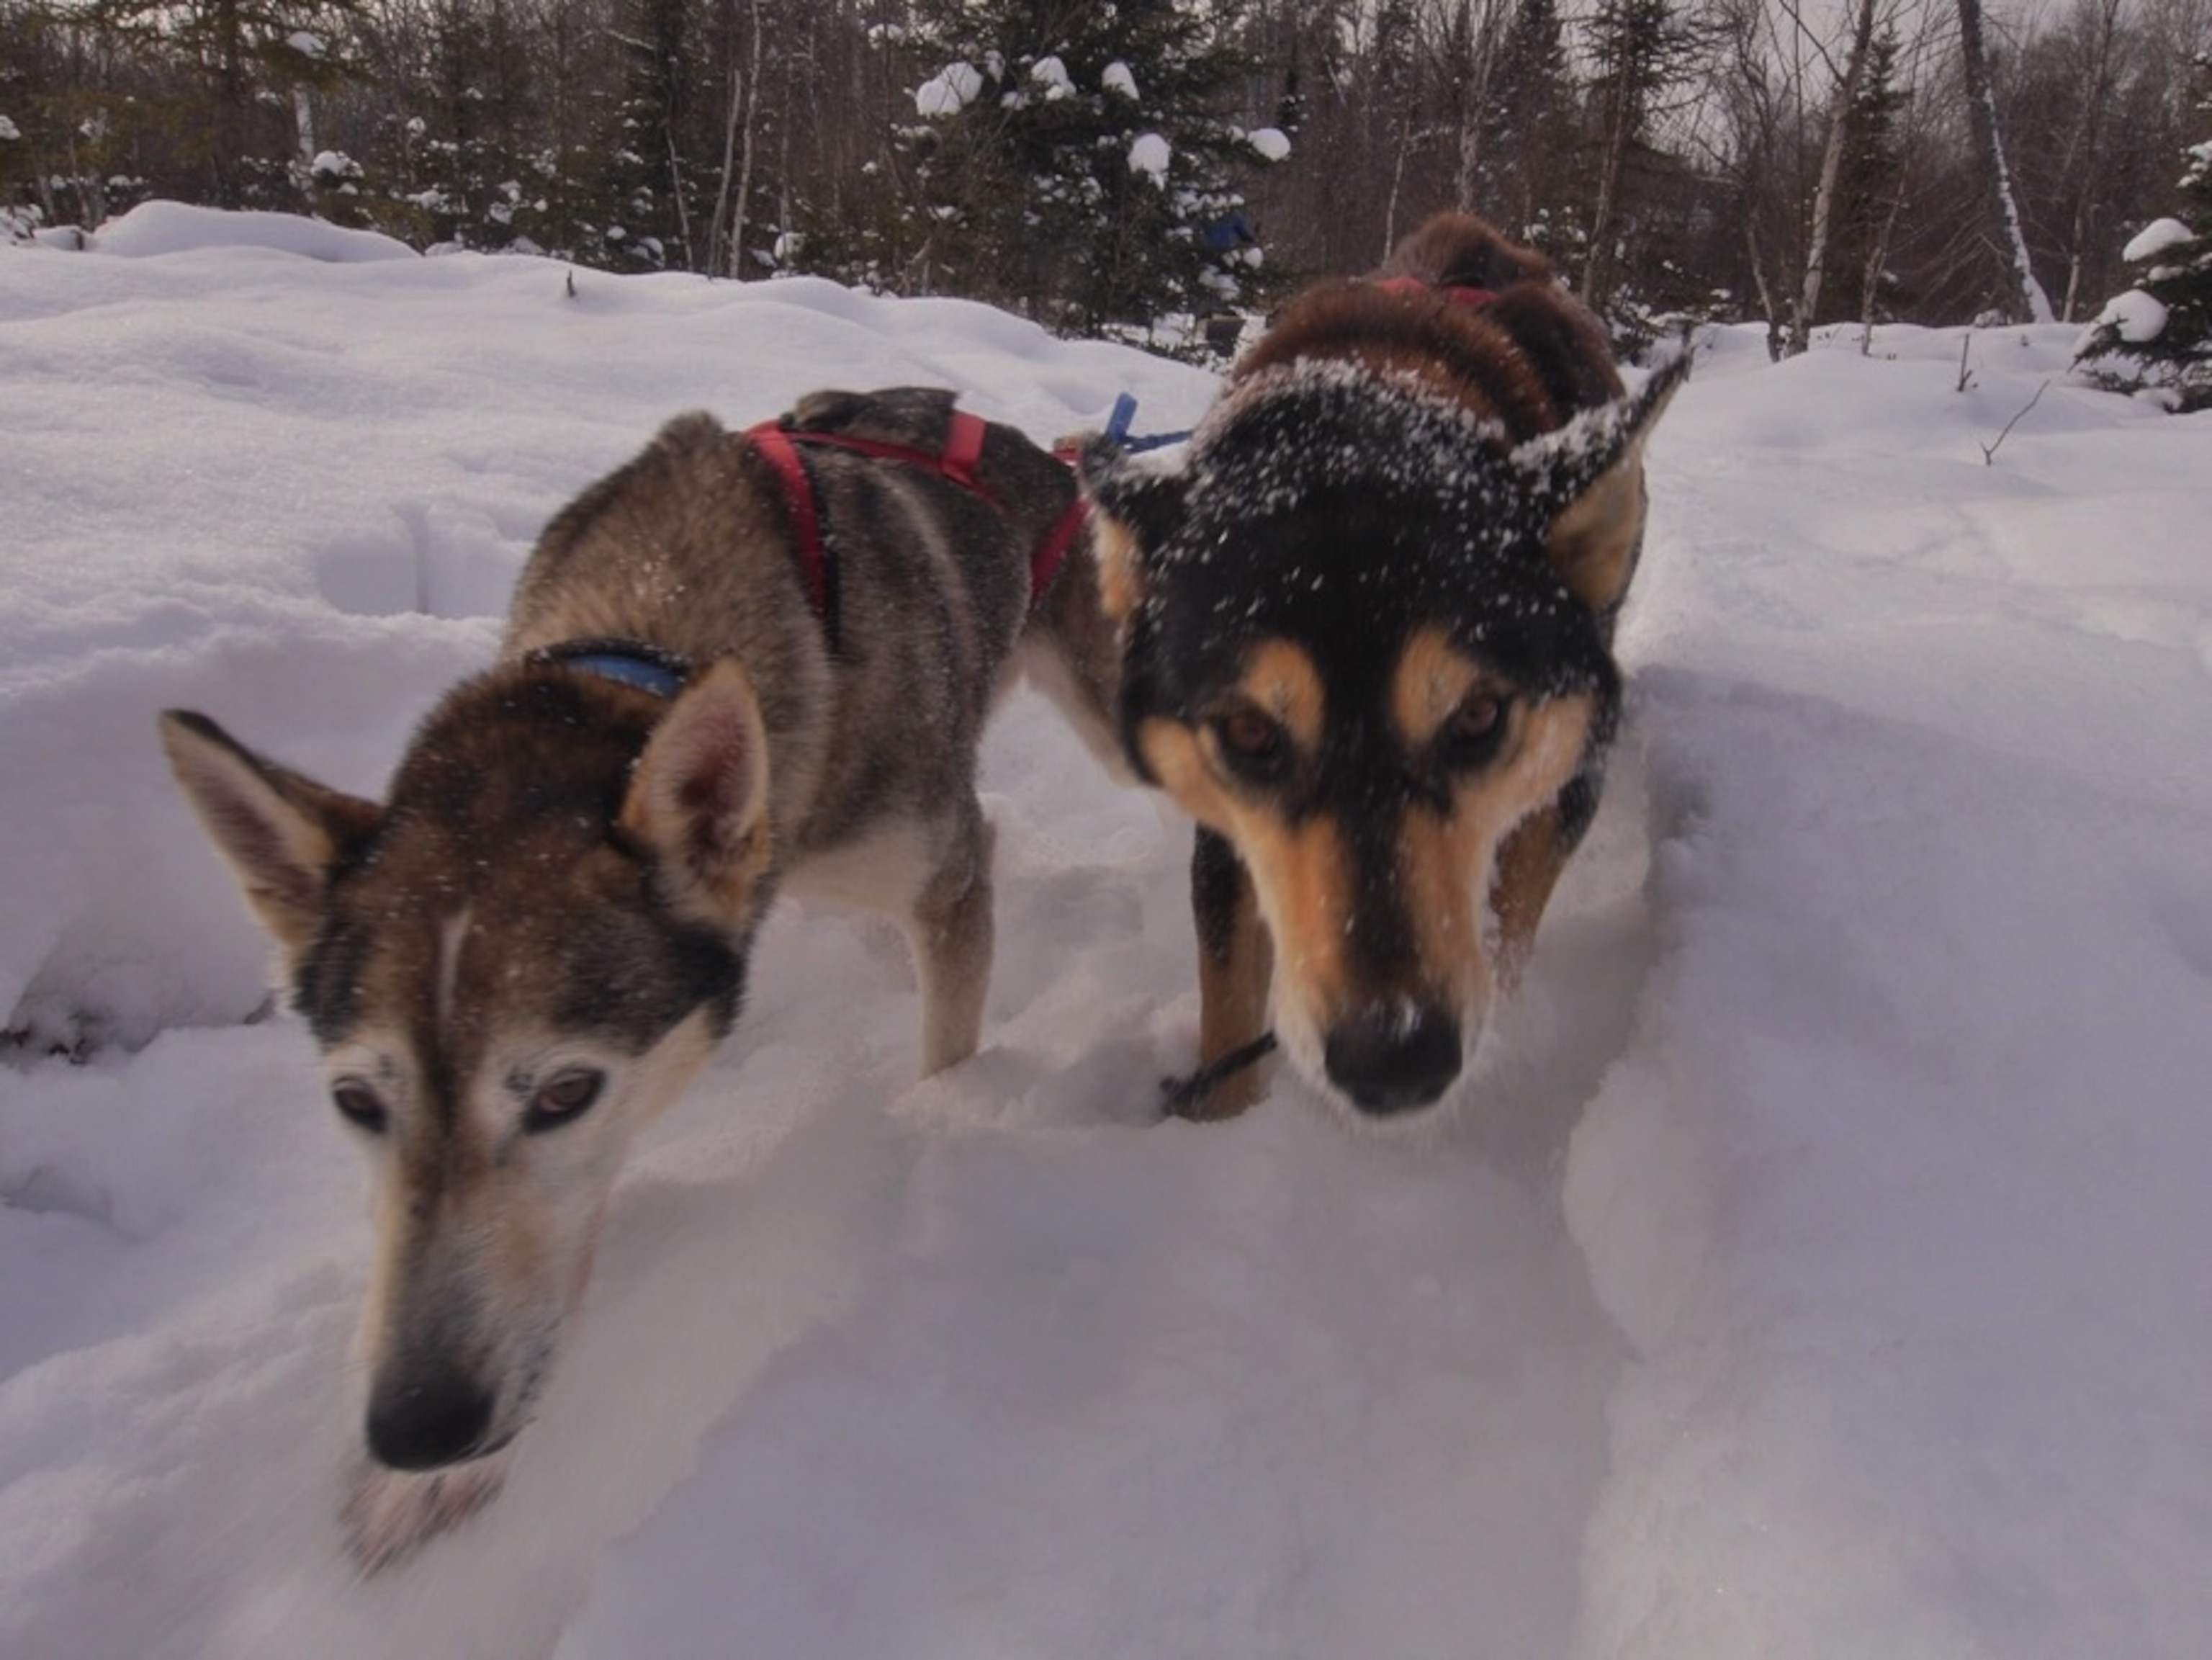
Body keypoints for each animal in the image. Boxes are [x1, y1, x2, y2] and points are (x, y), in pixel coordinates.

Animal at [158, 386, 1116, 1565]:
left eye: (564, 1092)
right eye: (356, 1101)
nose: (417, 1425)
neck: (642, 632)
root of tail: (1050, 453)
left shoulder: (944, 875)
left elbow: (945, 1049)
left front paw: (947, 1118)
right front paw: (420, 1491)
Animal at [1080, 211, 1689, 1122]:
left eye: (1477, 715)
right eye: (1250, 731)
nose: (1394, 1058)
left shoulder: (1571, 761)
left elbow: (1510, 922)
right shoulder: (1228, 827)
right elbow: (1228, 1006)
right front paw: (1223, 1122)